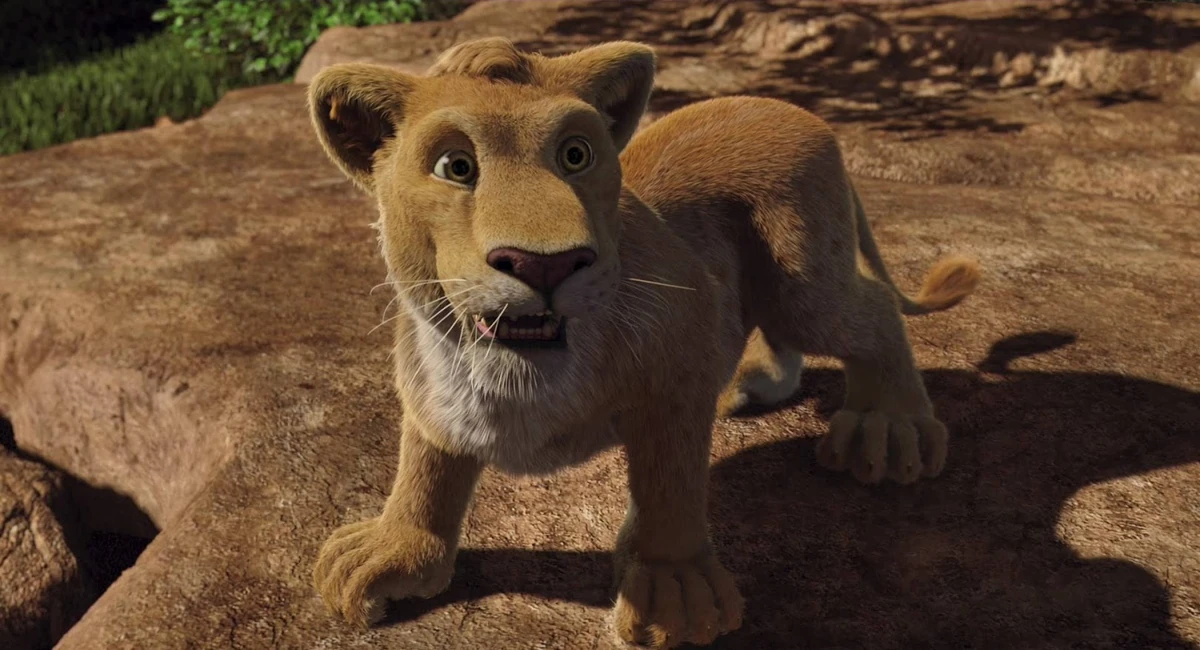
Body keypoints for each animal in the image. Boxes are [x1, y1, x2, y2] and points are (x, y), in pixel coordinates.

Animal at [306, 37, 980, 649]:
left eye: (575, 154)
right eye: (455, 166)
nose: (546, 264)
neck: (511, 376)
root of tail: (793, 108)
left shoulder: (676, 374)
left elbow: (670, 486)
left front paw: (673, 592)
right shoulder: (431, 396)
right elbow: (424, 474)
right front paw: (390, 554)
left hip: (804, 279)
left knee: (873, 309)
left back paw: (889, 431)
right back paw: (752, 383)